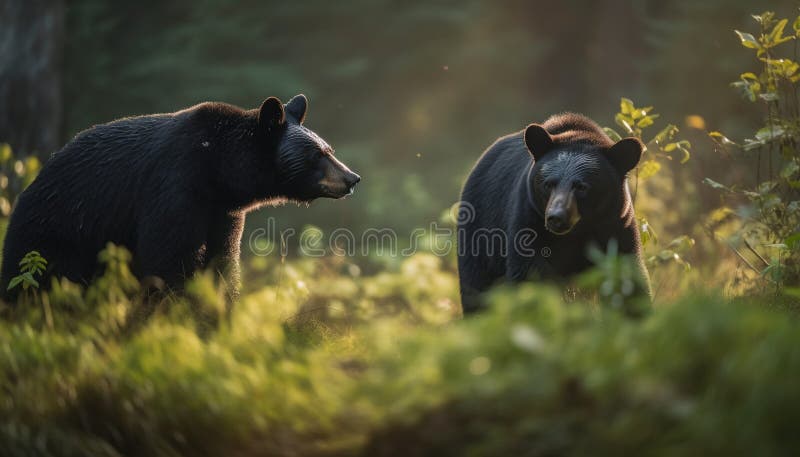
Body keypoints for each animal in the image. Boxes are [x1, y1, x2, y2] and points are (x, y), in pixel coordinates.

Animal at [1, 94, 360, 301]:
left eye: (329, 149)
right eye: (317, 154)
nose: (352, 178)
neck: (219, 169)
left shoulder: (222, 210)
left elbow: (222, 257)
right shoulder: (175, 184)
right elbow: (170, 255)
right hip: (61, 231)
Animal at [457, 113, 651, 313]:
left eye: (581, 187)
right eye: (548, 184)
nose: (556, 217)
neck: (576, 233)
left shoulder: (616, 224)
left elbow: (627, 276)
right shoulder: (528, 222)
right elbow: (529, 275)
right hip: (481, 232)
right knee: (477, 285)